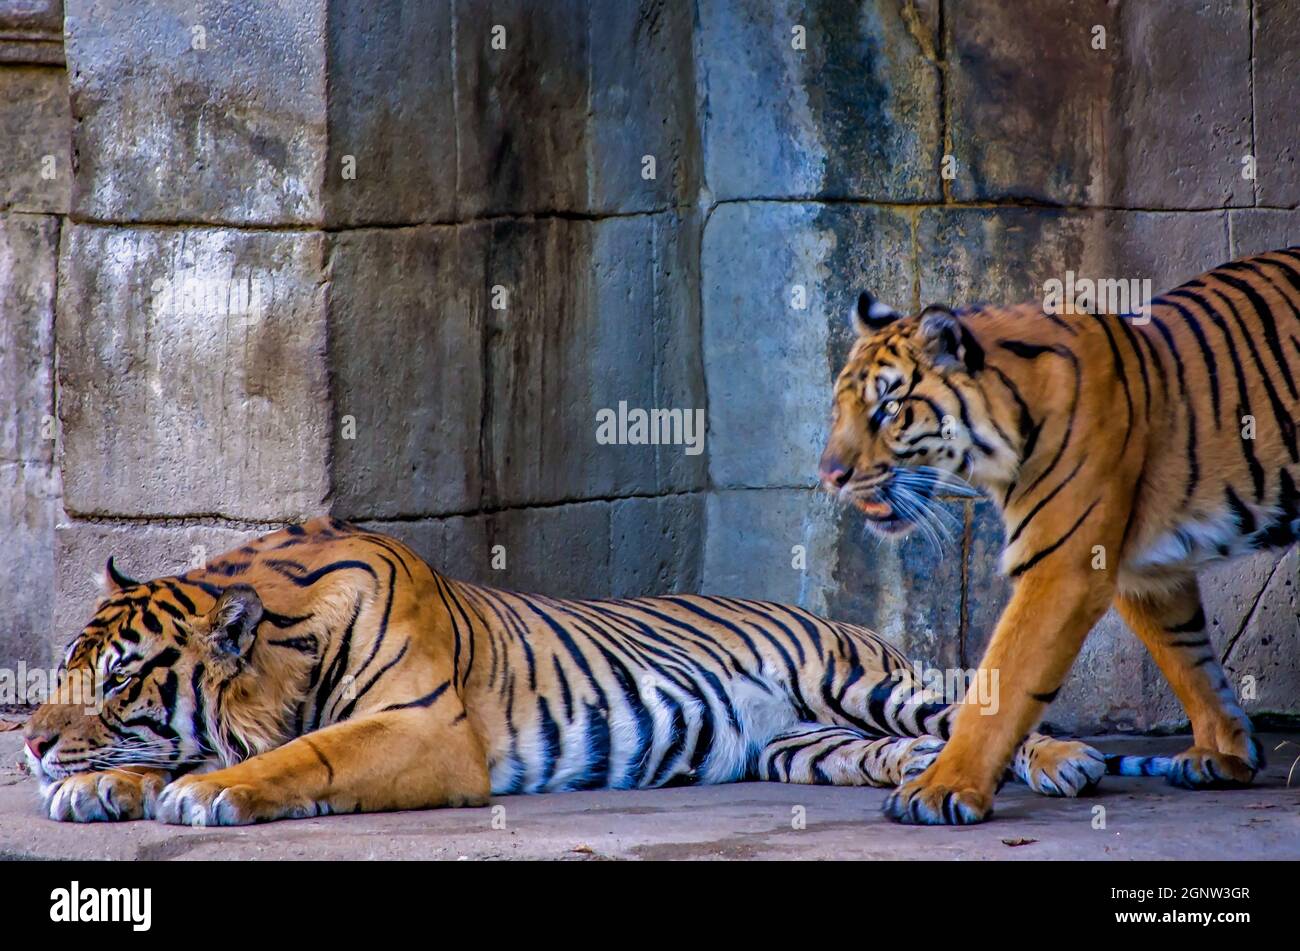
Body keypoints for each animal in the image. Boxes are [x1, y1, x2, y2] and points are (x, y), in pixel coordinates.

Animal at [23, 517, 1106, 825]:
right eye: (70, 672)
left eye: (118, 682)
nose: (27, 744)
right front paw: (102, 786)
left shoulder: (427, 732)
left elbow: (302, 757)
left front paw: (207, 793)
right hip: (815, 745)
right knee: (902, 753)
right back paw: (933, 786)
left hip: (861, 680)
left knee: (971, 707)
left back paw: (1064, 765)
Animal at [818, 247, 1300, 825]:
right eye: (840, 408)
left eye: (888, 409)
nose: (829, 475)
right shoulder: (1148, 572)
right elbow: (1189, 661)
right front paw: (1225, 753)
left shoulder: (1063, 566)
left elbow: (1002, 683)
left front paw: (940, 789)